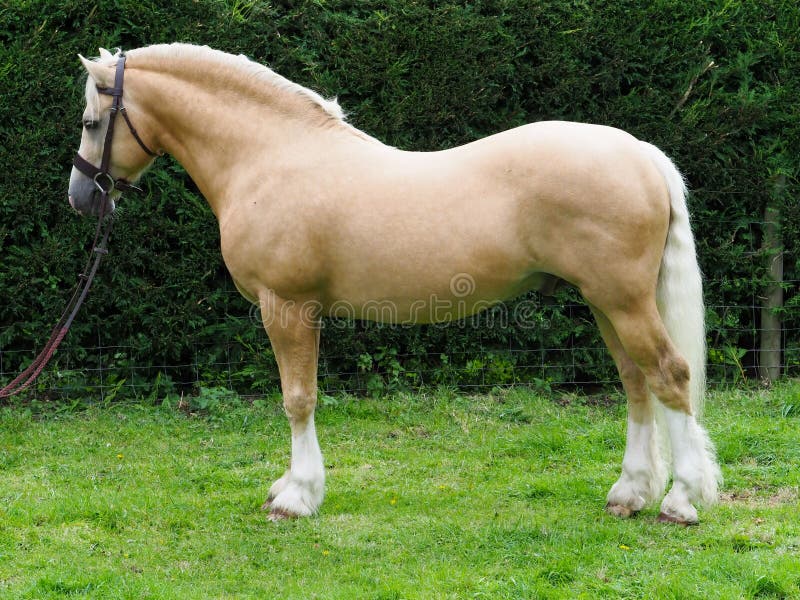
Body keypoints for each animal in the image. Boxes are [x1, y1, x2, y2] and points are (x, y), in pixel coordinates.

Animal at [68, 43, 721, 525]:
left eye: (92, 121)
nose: (81, 198)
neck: (270, 158)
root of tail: (640, 153)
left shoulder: (288, 307)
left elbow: (298, 398)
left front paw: (296, 496)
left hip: (623, 301)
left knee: (670, 376)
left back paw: (681, 501)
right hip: (606, 303)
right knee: (636, 384)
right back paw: (630, 493)